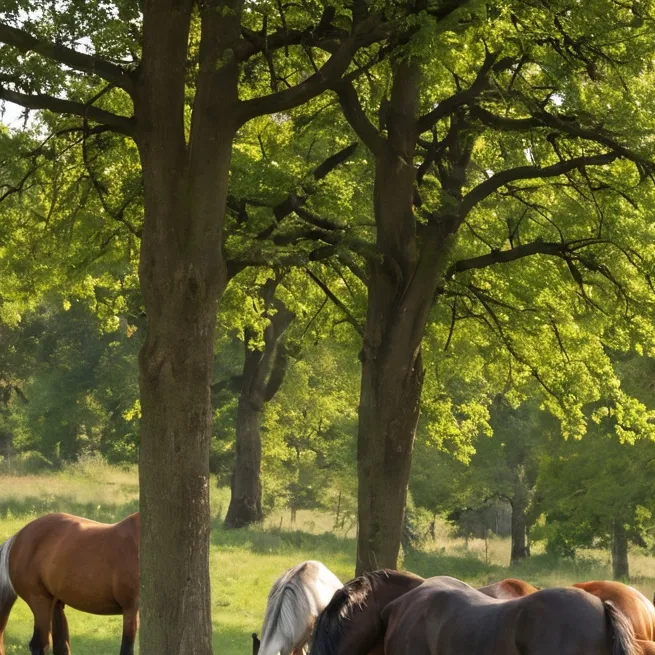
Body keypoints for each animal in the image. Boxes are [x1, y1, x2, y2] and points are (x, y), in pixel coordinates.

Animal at [0, 512, 139, 655]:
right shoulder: (130, 608)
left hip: (55, 604)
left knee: (61, 647)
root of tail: (17, 537)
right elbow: (127, 649)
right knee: (39, 645)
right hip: (40, 601)